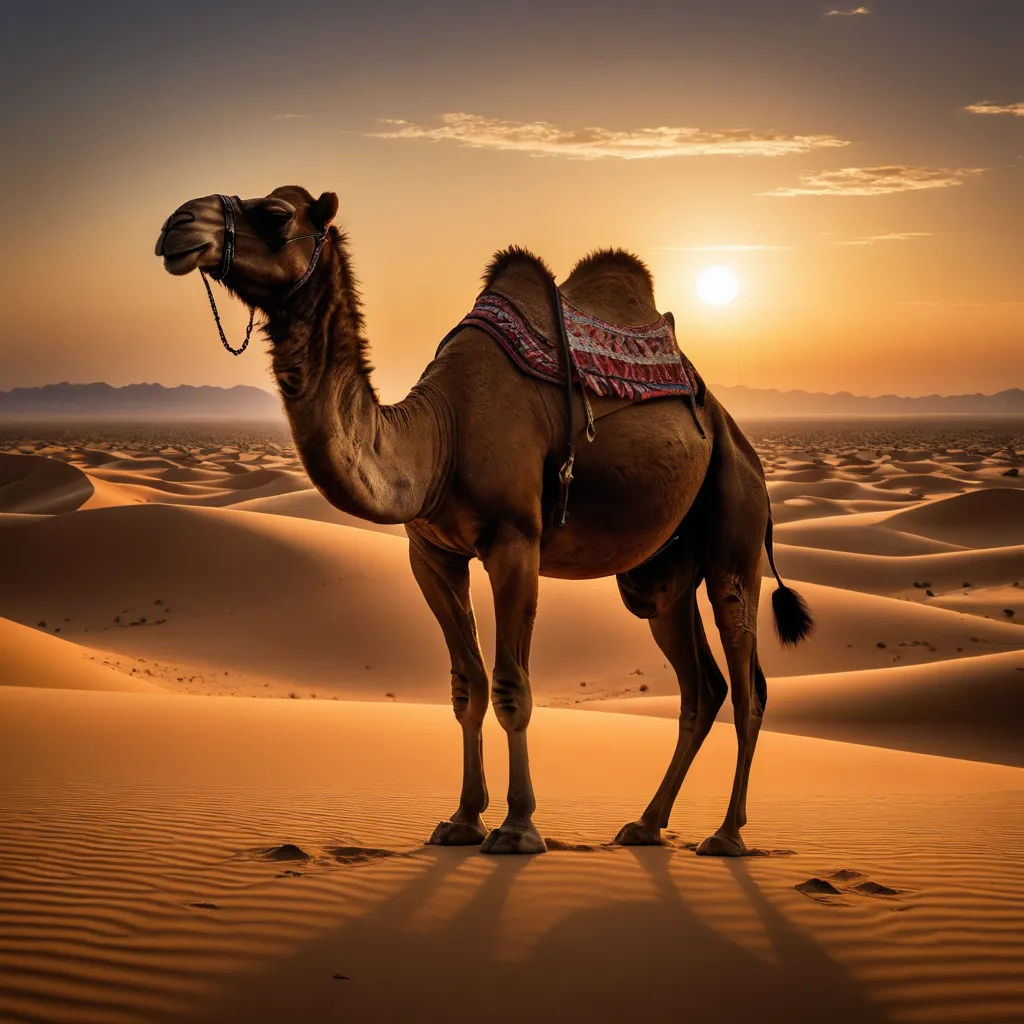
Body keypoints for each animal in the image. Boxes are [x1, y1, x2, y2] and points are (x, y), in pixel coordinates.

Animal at [155, 185, 813, 856]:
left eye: (276, 214)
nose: (177, 224)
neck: (439, 434)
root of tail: (740, 438)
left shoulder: (516, 543)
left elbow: (512, 687)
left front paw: (519, 828)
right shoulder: (432, 554)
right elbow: (466, 688)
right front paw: (463, 820)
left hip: (735, 525)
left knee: (748, 686)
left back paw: (726, 835)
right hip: (661, 575)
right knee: (701, 686)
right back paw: (647, 825)